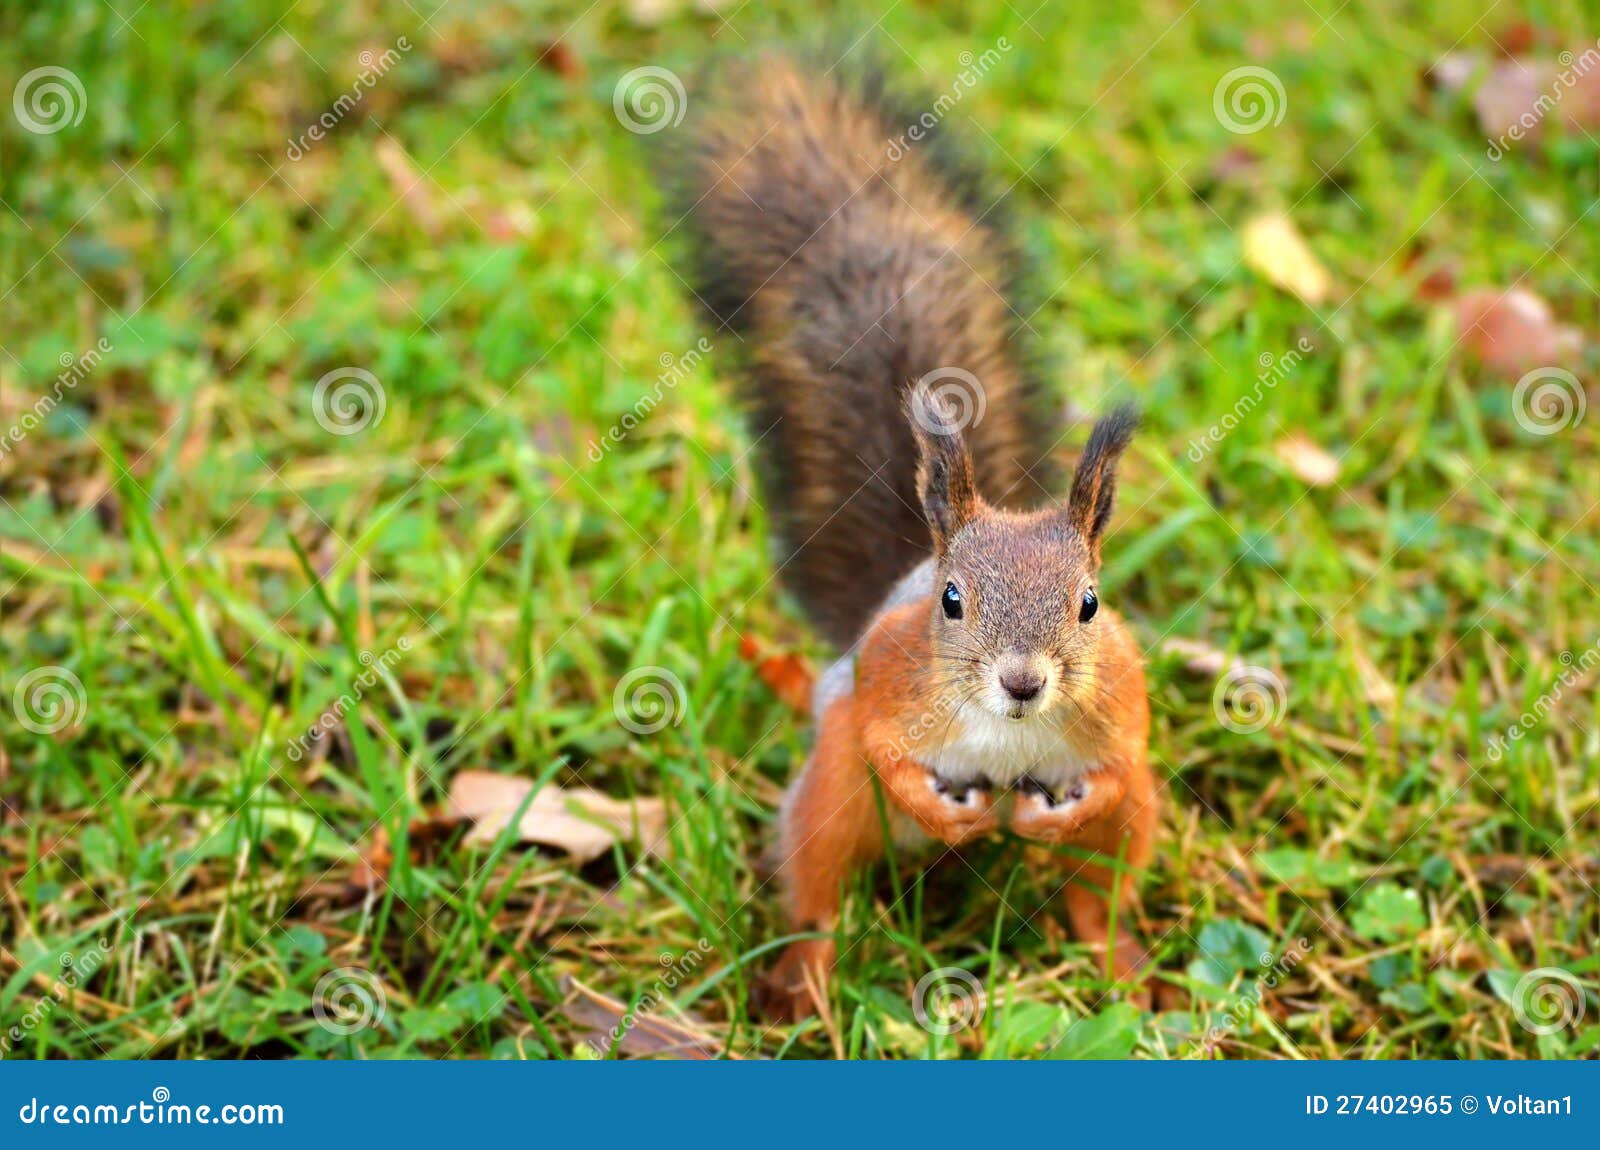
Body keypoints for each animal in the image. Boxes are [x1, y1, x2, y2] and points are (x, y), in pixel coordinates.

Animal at [667, 49, 1159, 1021]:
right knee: (819, 879)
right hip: (826, 792)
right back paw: (811, 979)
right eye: (951, 600)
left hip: (1138, 829)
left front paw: (1052, 809)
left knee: (1102, 882)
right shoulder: (885, 681)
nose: (1021, 682)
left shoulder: (1122, 705)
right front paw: (946, 809)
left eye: (1090, 604)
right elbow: (883, 749)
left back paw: (1115, 958)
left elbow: (1122, 767)